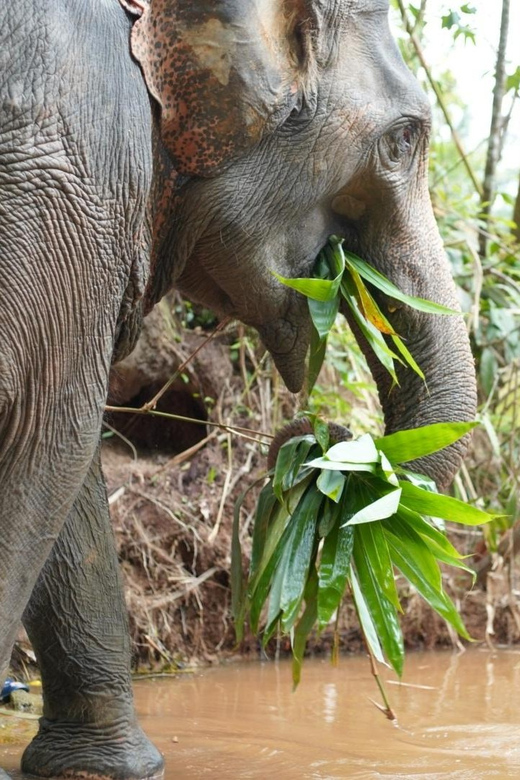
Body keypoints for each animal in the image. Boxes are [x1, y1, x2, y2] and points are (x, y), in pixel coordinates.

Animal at [0, 0, 476, 777]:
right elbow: (39, 441)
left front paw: (106, 768)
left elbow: (66, 472)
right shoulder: (65, 180)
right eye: (403, 139)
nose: (320, 435)